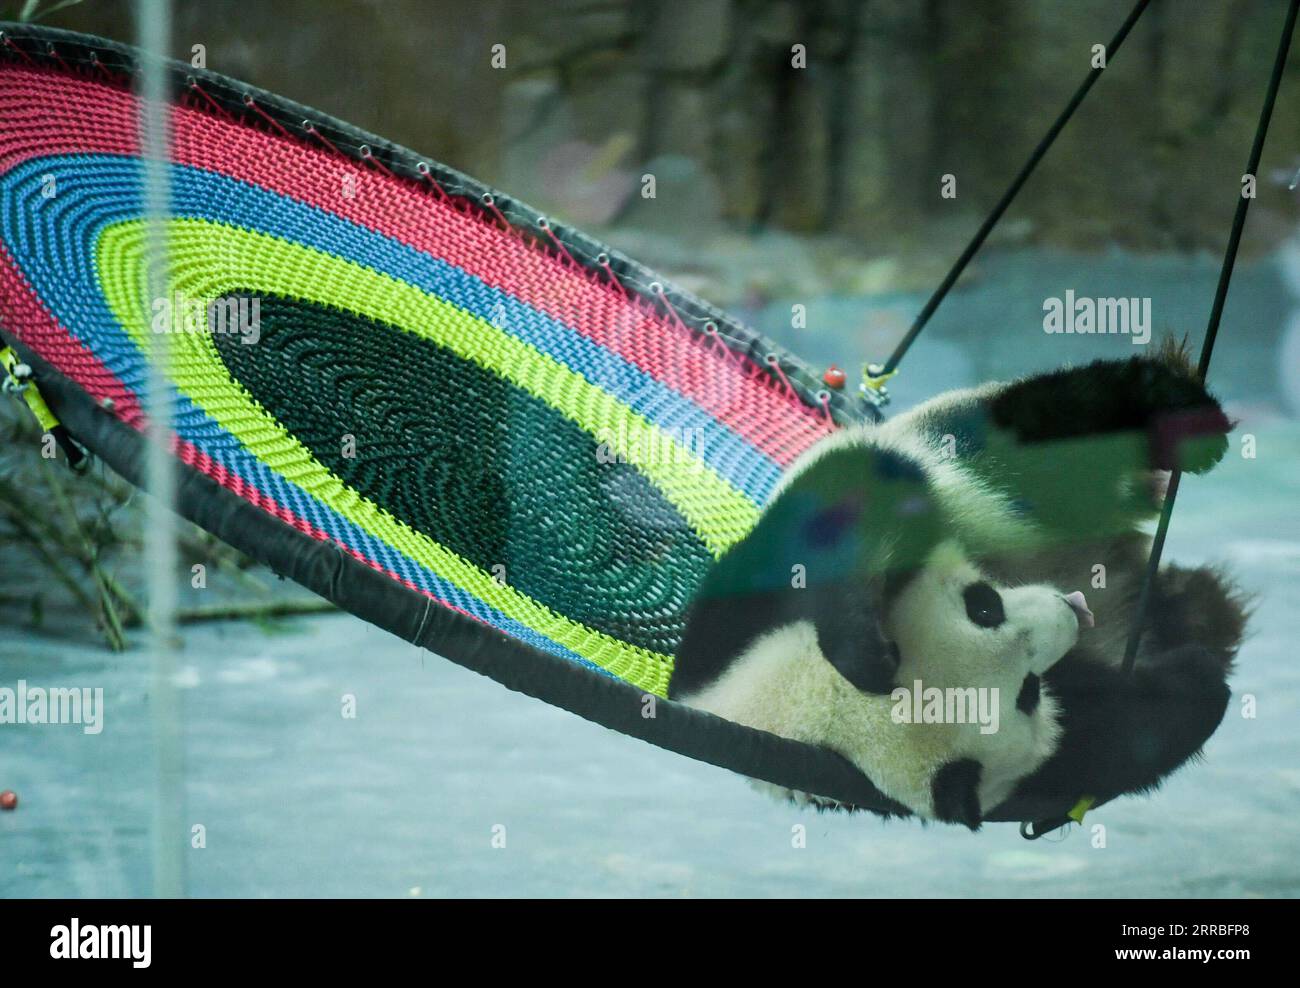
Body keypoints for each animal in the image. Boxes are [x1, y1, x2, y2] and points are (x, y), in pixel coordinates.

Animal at [669, 342, 1246, 828]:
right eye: (1028, 690)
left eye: (983, 607)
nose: (1069, 613)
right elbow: (1120, 738)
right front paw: (1190, 679)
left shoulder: (730, 616)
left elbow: (843, 505)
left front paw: (860, 645)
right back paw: (1198, 611)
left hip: (976, 466)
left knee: (1046, 431)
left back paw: (1185, 419)